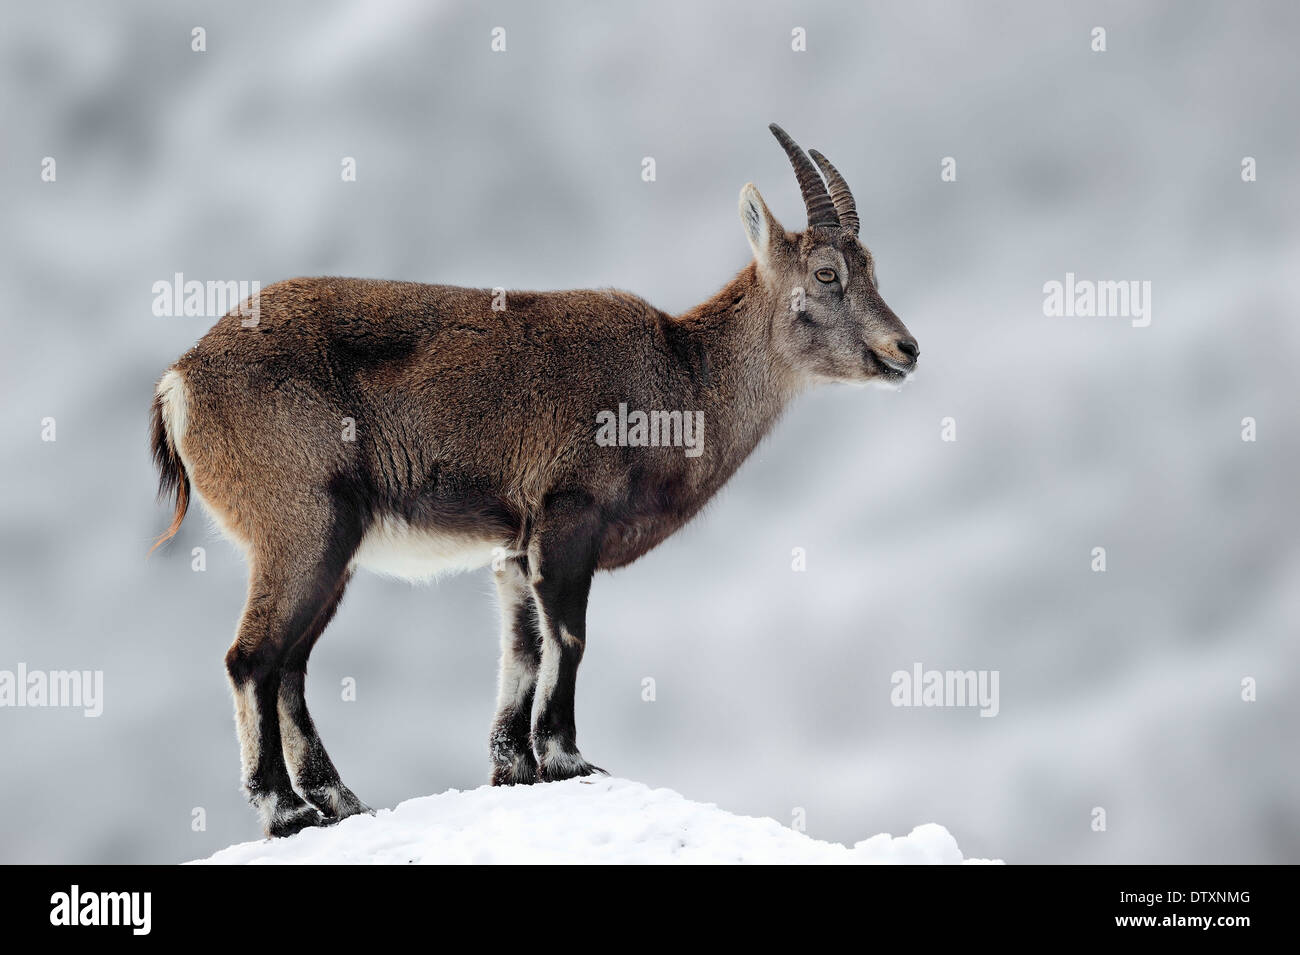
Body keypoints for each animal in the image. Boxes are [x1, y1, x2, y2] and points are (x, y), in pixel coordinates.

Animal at [150, 124, 919, 836]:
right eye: (827, 273)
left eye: (872, 268)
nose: (906, 348)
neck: (680, 378)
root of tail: (180, 382)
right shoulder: (568, 514)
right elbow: (569, 637)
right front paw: (566, 756)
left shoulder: (515, 547)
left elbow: (521, 648)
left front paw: (513, 766)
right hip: (304, 526)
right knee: (253, 658)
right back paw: (284, 810)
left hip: (328, 548)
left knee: (291, 665)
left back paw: (338, 800)